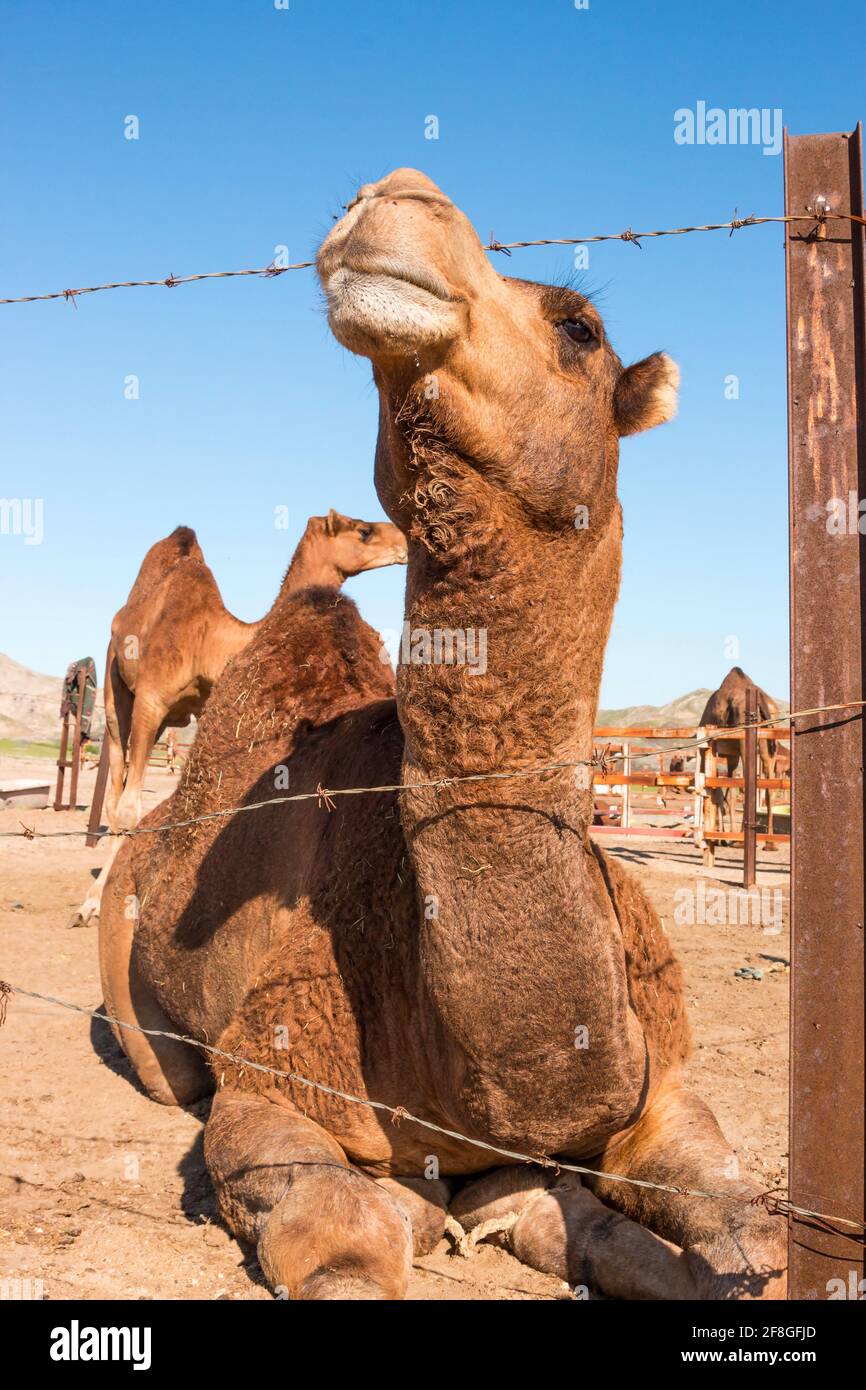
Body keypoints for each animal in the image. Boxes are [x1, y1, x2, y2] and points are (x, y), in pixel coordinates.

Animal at [72, 512, 406, 925]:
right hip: (116, 685)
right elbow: (129, 810)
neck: (208, 641)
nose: (406, 541)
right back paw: (92, 899)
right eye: (363, 530)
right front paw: (101, 903)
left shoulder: (206, 701)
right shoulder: (150, 700)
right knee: (116, 784)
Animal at [698, 667, 782, 841]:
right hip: (770, 741)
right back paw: (770, 840)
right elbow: (728, 791)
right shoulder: (732, 756)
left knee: (747, 784)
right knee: (768, 785)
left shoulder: (711, 750)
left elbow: (718, 791)